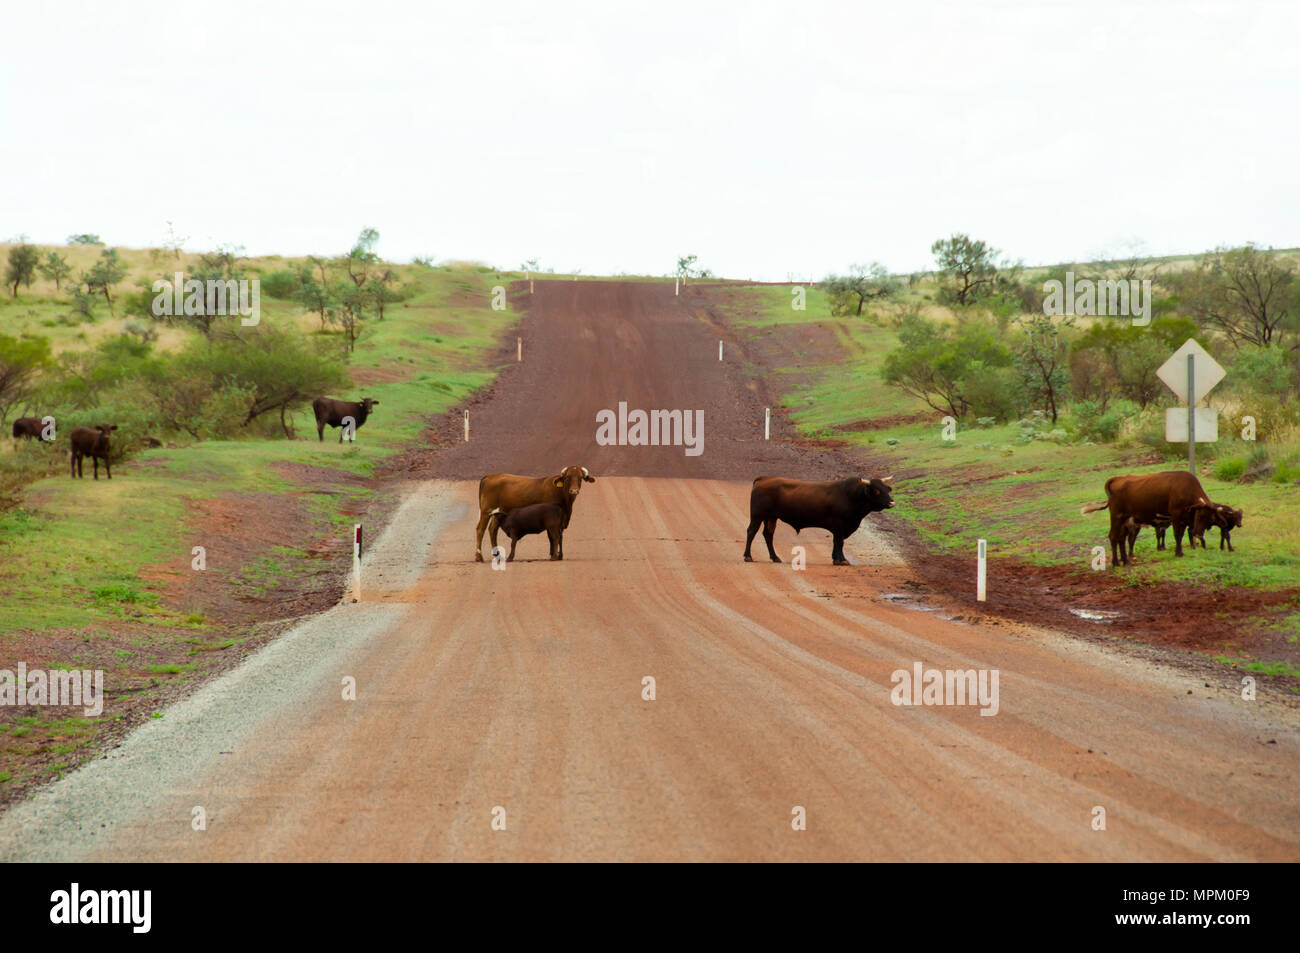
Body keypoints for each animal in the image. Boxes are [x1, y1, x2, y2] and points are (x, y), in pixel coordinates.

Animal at [744, 475, 895, 566]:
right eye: (876, 491)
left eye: (887, 489)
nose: (892, 502)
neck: (850, 495)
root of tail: (764, 479)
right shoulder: (839, 525)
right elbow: (840, 542)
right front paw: (842, 559)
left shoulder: (839, 528)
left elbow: (836, 542)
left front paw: (836, 558)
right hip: (758, 516)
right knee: (751, 532)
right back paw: (748, 556)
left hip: (771, 518)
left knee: (768, 535)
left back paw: (775, 557)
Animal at [1080, 471, 1215, 566]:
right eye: (1202, 515)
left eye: (1210, 517)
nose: (1199, 533)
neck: (1186, 488)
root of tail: (1118, 479)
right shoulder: (1176, 515)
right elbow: (1177, 535)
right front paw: (1178, 553)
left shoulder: (1182, 519)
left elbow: (1181, 535)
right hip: (1117, 516)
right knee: (1113, 536)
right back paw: (1116, 562)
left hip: (1125, 519)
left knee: (1121, 538)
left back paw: (1125, 560)